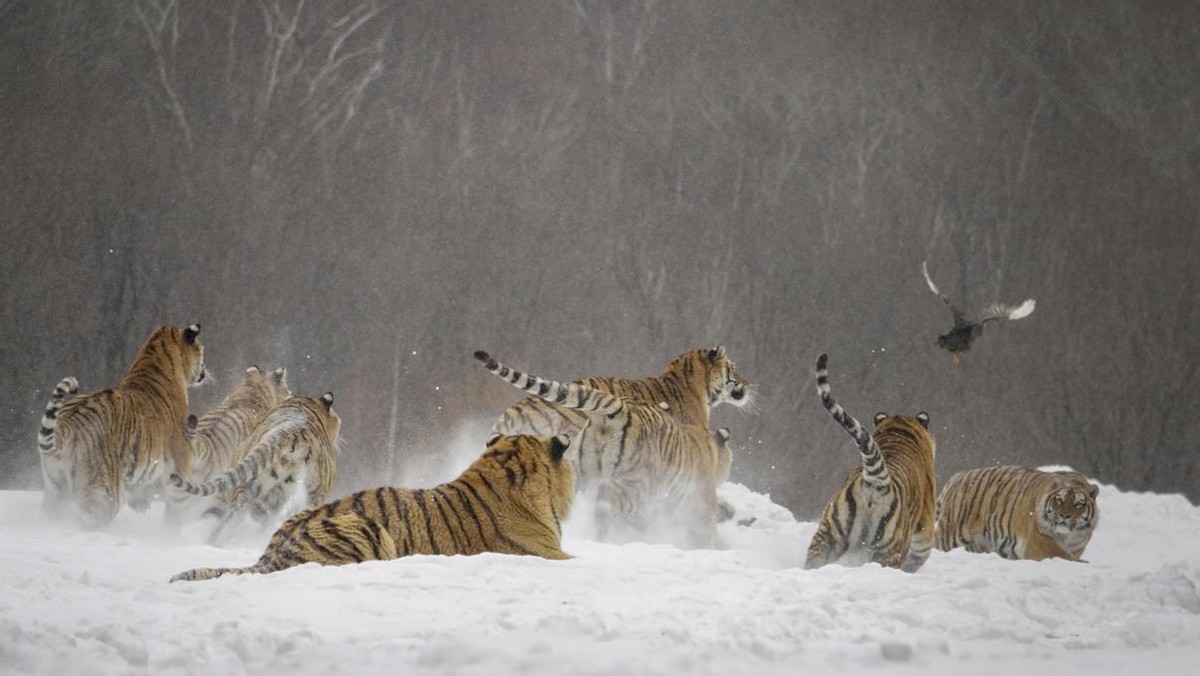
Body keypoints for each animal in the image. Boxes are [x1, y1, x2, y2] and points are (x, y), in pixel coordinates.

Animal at [40, 324, 208, 528]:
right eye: (202, 352)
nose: (205, 372)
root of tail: (69, 421)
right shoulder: (181, 464)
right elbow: (177, 509)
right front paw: (172, 533)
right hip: (105, 493)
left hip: (55, 487)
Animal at [804, 353, 937, 572]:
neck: (898, 428)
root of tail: (876, 482)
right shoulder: (925, 528)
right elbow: (920, 555)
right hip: (888, 552)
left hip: (829, 534)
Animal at [934, 466, 1099, 561]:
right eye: (1060, 499)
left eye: (1079, 503)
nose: (1064, 516)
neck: (1068, 536)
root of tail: (958, 476)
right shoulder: (1041, 541)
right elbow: (1064, 556)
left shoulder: (1076, 548)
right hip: (951, 534)